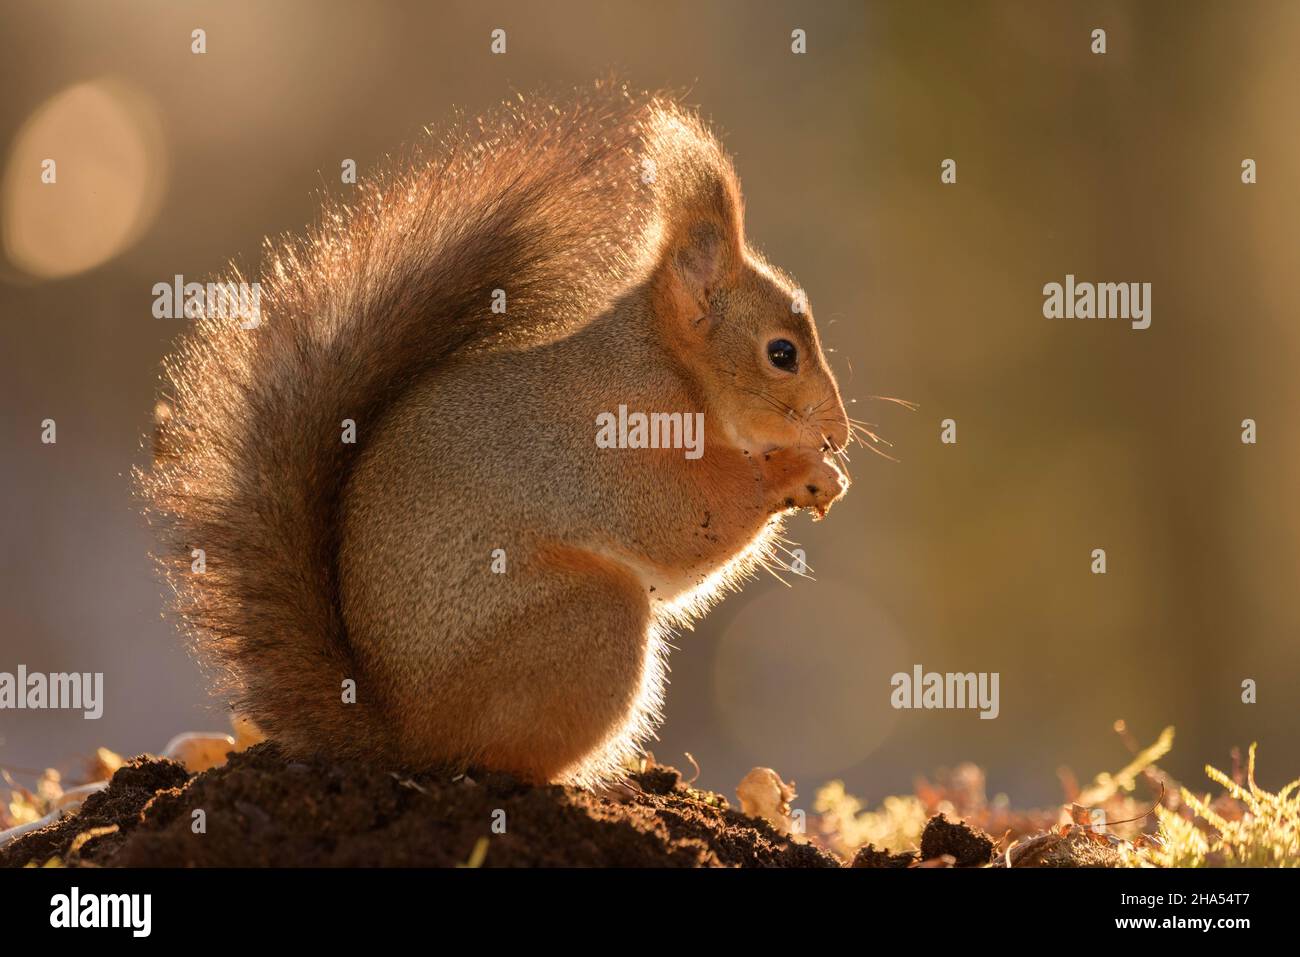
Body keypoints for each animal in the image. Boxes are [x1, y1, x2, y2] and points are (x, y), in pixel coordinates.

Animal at [139, 86, 852, 787]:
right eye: (782, 353)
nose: (839, 435)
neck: (671, 366)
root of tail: (405, 741)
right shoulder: (623, 443)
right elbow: (688, 520)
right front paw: (799, 472)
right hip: (588, 622)